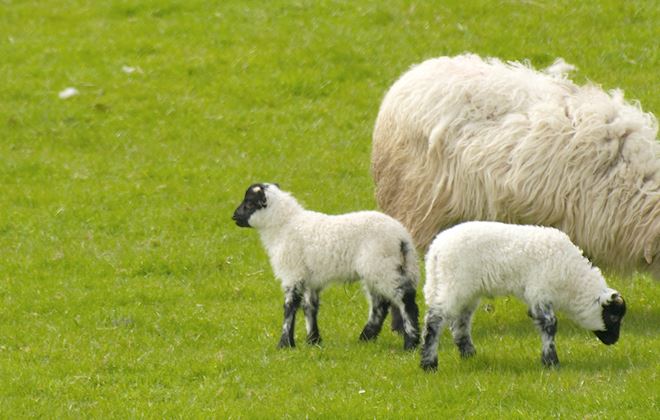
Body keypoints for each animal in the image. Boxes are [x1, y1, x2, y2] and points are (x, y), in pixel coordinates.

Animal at [232, 183, 420, 350]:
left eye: (249, 203)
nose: (234, 217)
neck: (284, 225)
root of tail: (403, 238)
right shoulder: (309, 279)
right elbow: (310, 307)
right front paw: (313, 341)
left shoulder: (293, 273)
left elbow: (289, 307)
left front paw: (285, 344)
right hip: (382, 270)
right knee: (380, 305)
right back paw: (365, 339)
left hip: (382, 267)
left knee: (405, 300)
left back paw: (410, 343)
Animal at [419, 221, 627, 371]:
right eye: (613, 316)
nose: (614, 340)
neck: (572, 280)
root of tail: (436, 249)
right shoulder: (540, 291)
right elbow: (550, 325)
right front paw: (551, 362)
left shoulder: (536, 297)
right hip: (455, 283)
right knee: (435, 319)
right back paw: (429, 364)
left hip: (465, 290)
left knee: (460, 323)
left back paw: (469, 355)